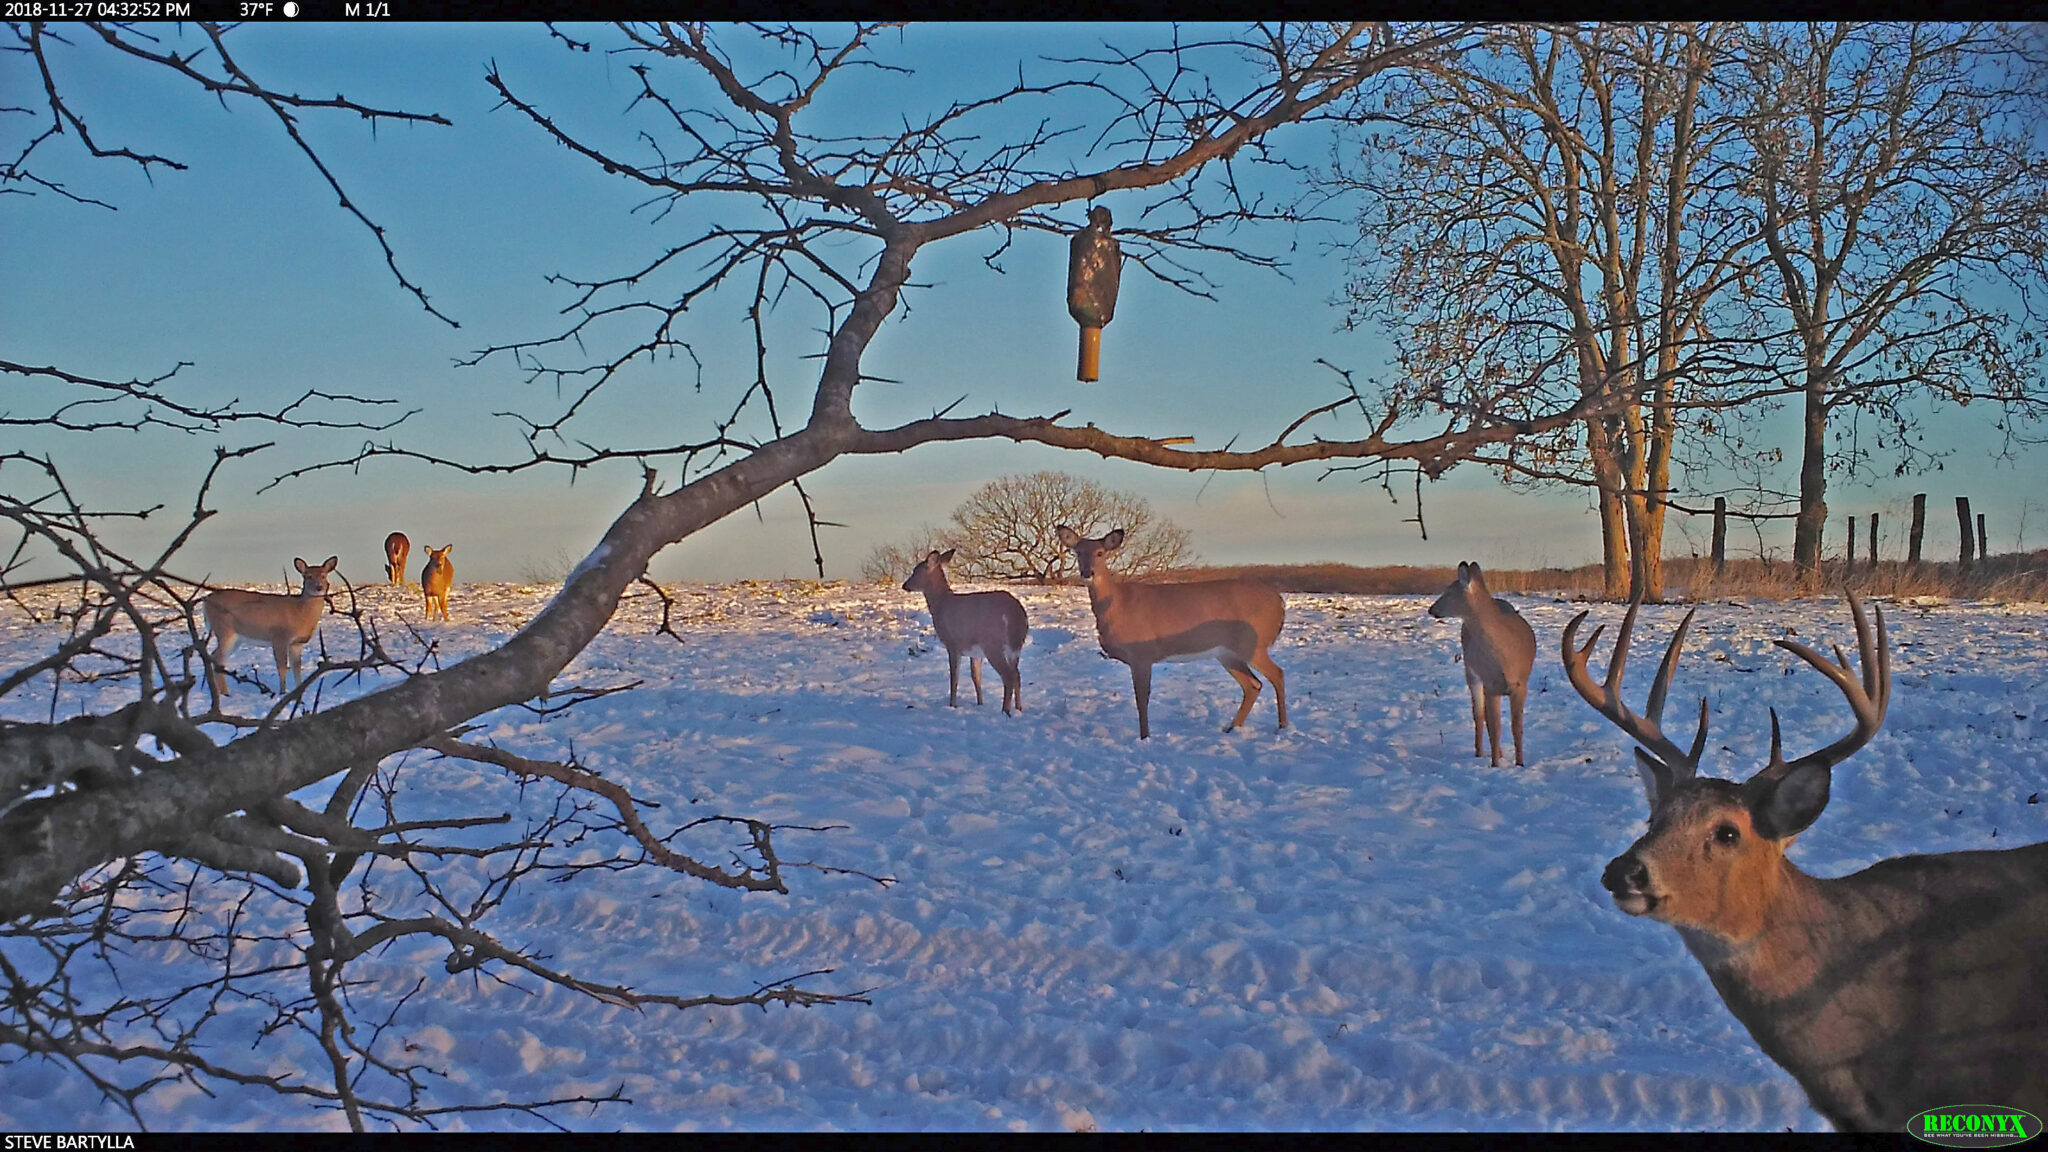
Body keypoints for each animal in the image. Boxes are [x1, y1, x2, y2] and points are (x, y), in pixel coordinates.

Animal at [200, 555, 338, 707]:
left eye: (324, 575)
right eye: (308, 576)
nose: (319, 587)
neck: (299, 613)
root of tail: (205, 601)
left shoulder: (296, 643)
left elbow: (296, 668)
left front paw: (299, 698)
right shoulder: (279, 637)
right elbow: (282, 667)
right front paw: (282, 694)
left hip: (236, 638)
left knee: (218, 658)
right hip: (225, 630)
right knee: (217, 657)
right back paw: (225, 694)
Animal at [901, 549, 1029, 715]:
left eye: (915, 571)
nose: (904, 585)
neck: (941, 604)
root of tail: (1015, 612)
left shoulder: (953, 644)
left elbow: (954, 677)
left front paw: (952, 705)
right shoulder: (975, 651)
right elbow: (976, 677)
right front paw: (980, 704)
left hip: (993, 644)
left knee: (1008, 676)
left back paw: (1005, 711)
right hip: (1015, 647)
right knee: (1017, 675)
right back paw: (1019, 709)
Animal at [1056, 525, 1286, 740]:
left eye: (1100, 552)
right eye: (1077, 551)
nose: (1087, 573)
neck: (1118, 605)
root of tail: (1280, 602)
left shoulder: (1142, 654)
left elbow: (1142, 698)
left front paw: (1145, 737)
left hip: (1253, 643)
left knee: (1277, 674)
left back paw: (1282, 727)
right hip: (1227, 653)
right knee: (1253, 685)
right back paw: (1231, 728)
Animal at [1428, 561, 1536, 766]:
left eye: (1449, 592)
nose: (1431, 610)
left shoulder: (1521, 685)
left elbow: (1516, 727)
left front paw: (1520, 763)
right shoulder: (1490, 683)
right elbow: (1495, 728)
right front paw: (1495, 765)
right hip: (1471, 674)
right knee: (1479, 715)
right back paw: (1480, 752)